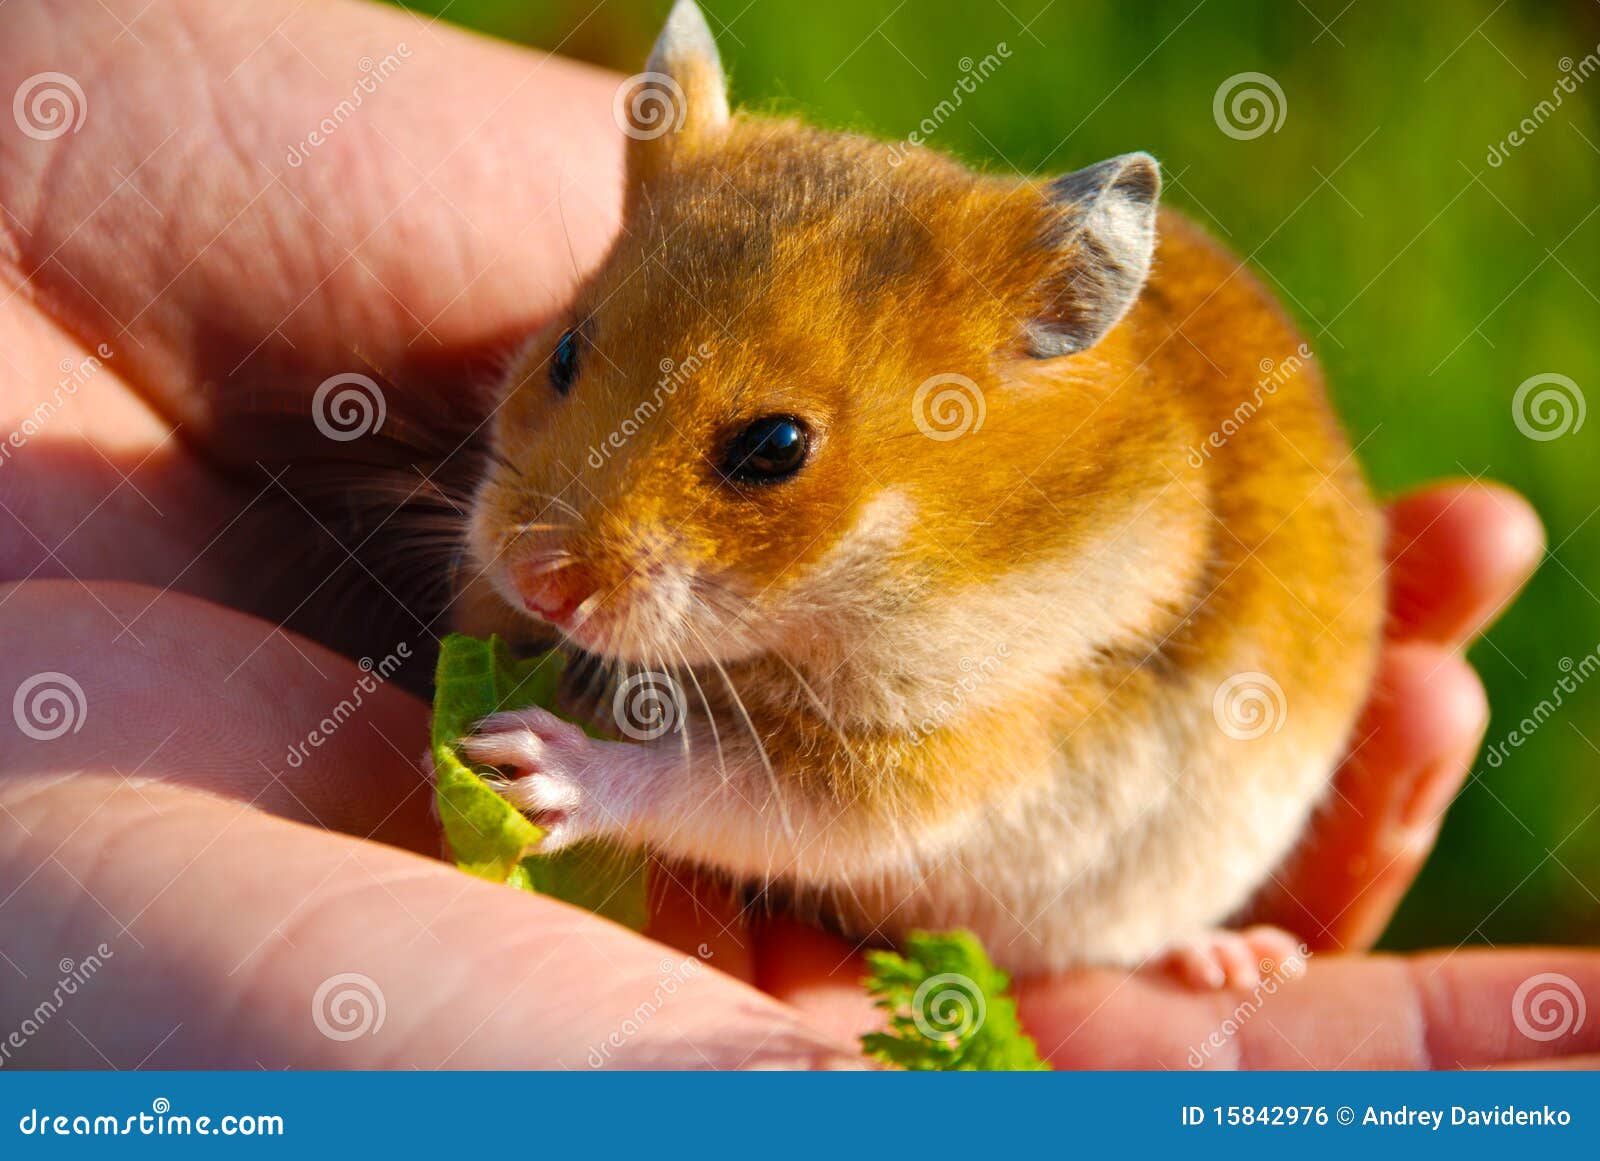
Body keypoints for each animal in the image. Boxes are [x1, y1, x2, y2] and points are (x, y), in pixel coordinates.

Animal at [458, 0, 1384, 979]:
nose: (537, 583)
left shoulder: (928, 761)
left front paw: (520, 762)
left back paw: (1237, 961)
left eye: (776, 446)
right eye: (564, 353)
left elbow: (710, 782)